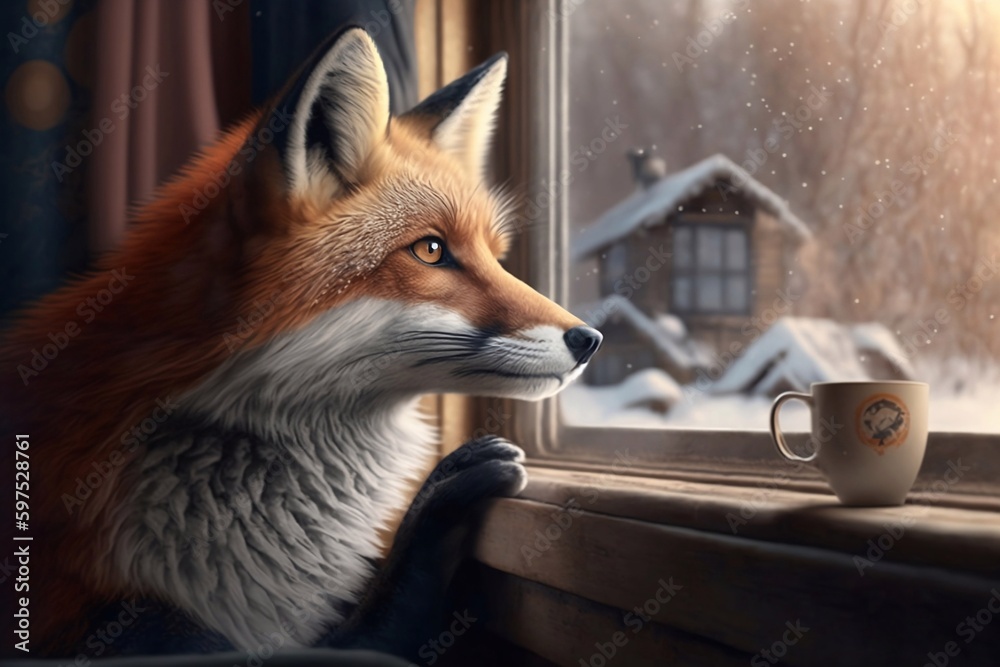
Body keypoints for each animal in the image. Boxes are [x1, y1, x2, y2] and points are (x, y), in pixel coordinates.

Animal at [0, 27, 602, 664]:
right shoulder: (146, 627)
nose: (590, 339)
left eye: (495, 255)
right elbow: (373, 629)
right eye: (432, 250)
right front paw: (436, 506)